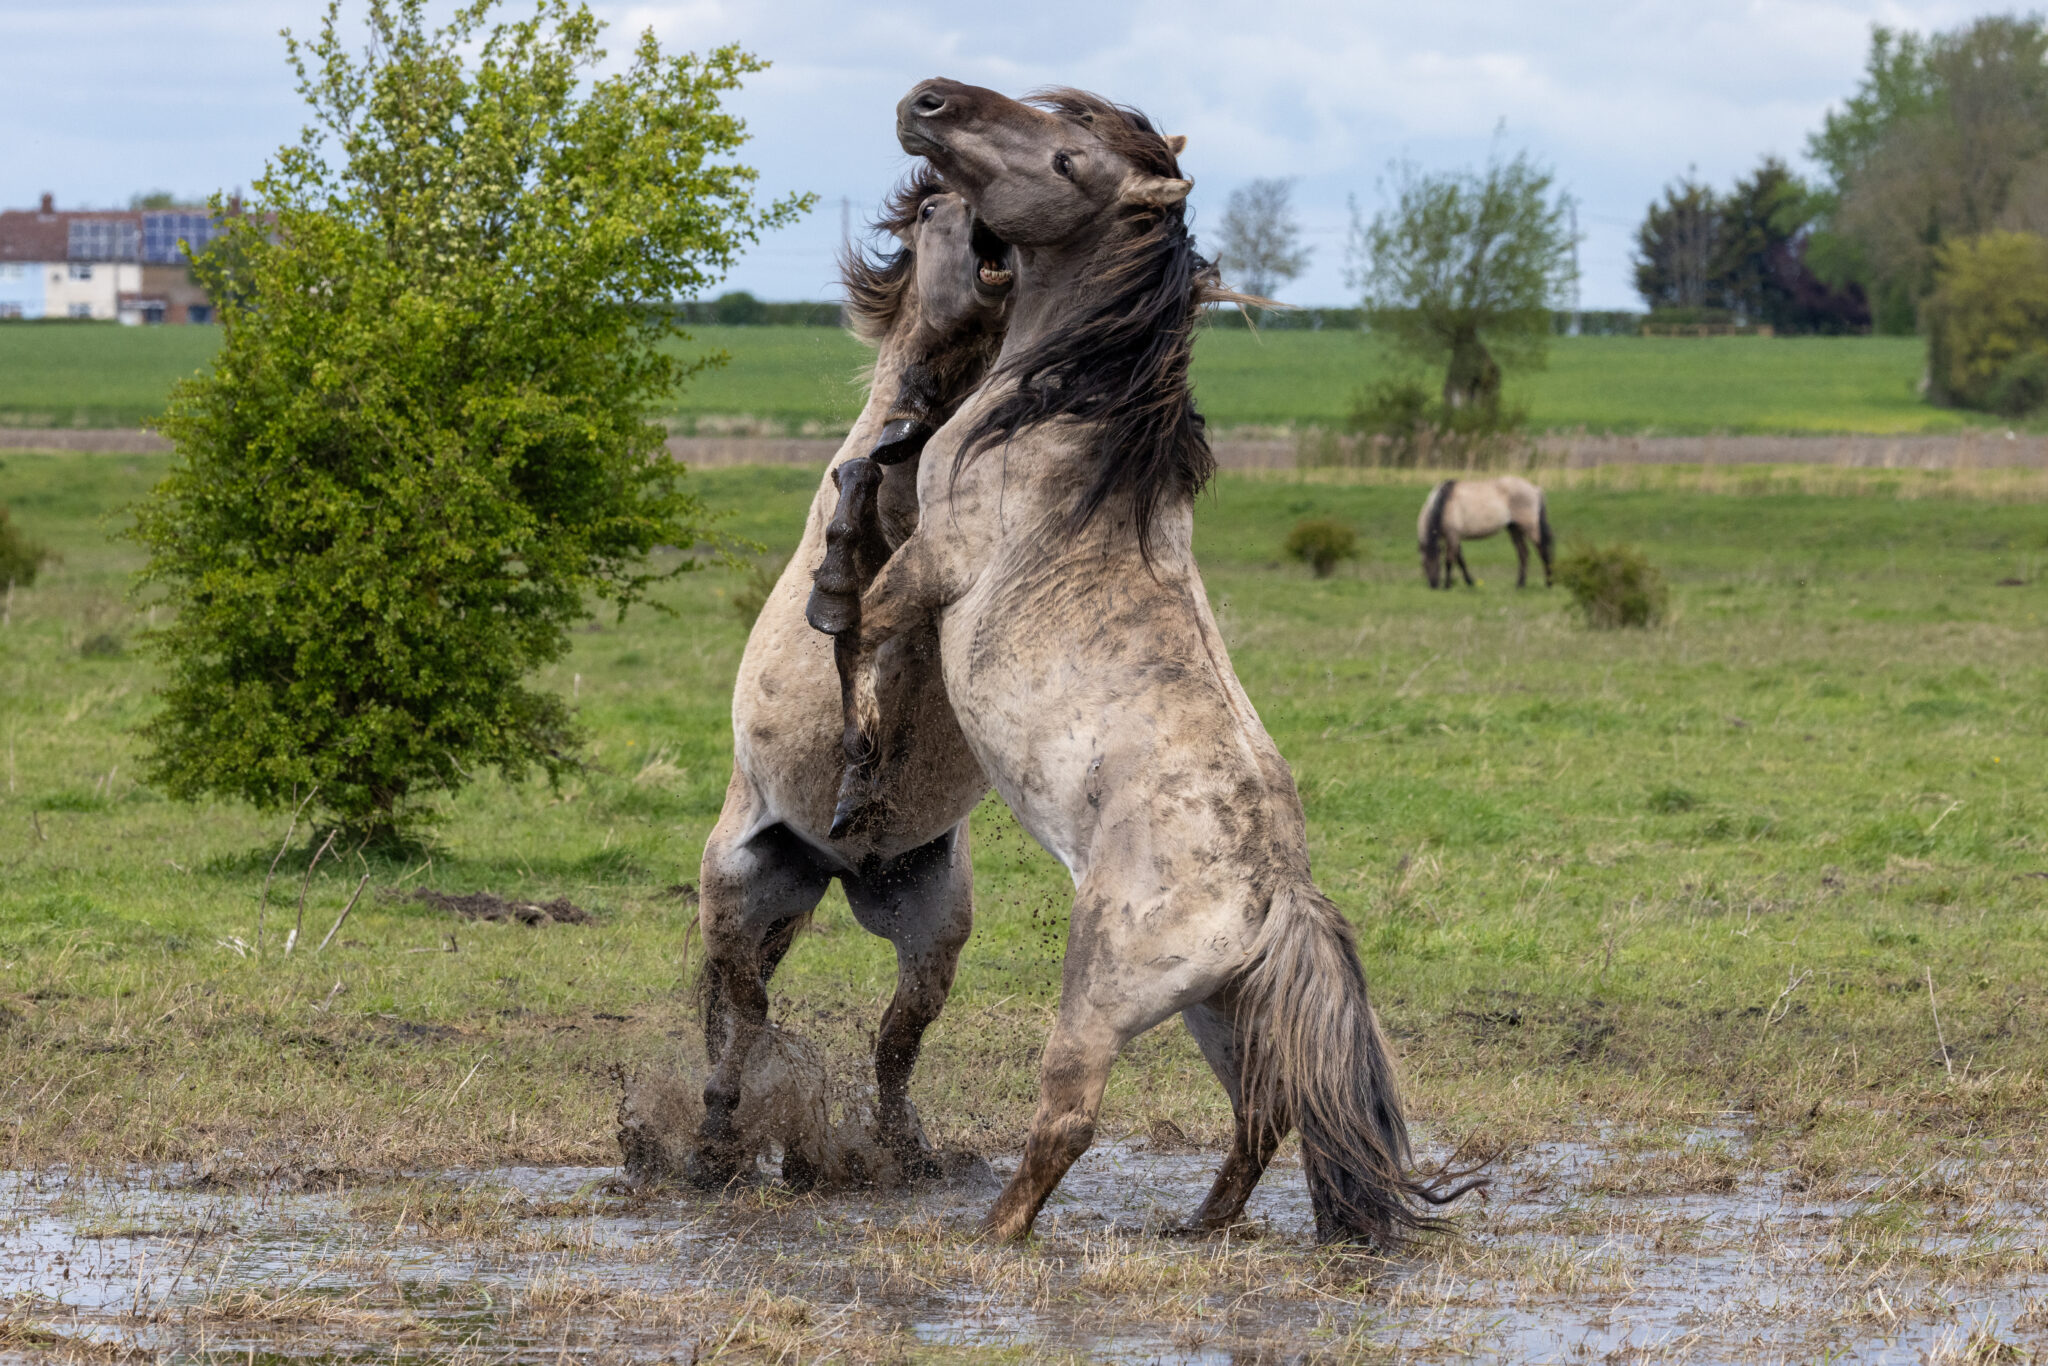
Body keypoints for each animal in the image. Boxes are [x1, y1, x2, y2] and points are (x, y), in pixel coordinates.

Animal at [690, 172, 1013, 1188]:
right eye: (932, 212)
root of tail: (830, 867)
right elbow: (857, 516)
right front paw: (835, 585)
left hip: (934, 926)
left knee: (893, 1041)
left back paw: (903, 1147)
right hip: (736, 888)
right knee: (743, 1015)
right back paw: (714, 1137)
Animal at [834, 79, 1479, 1245]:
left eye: (1063, 158)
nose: (927, 100)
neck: (1062, 430)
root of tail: (1275, 901)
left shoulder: (934, 563)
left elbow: (864, 627)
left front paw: (857, 762)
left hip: (1101, 997)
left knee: (1069, 1119)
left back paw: (994, 1236)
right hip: (1215, 1013)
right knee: (1264, 1113)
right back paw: (1197, 1226)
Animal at [1418, 476, 1554, 589]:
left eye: (1437, 563)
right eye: (1423, 564)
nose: (1433, 585)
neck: (1444, 502)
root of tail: (1535, 489)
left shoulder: (1453, 535)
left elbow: (1450, 560)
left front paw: (1447, 586)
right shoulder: (1452, 538)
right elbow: (1460, 560)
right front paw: (1469, 582)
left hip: (1530, 528)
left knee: (1543, 551)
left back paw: (1549, 583)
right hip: (1515, 529)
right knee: (1523, 553)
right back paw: (1520, 584)